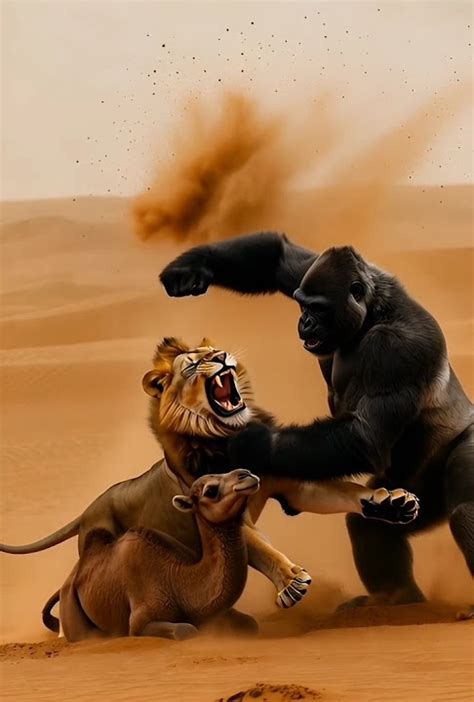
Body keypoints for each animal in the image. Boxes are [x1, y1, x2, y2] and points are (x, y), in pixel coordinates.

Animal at [160, 233, 474, 615]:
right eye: (303, 305)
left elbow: (364, 436)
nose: (304, 324)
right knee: (369, 527)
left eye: (319, 310)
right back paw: (397, 601)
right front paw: (192, 267)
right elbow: (280, 256)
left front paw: (253, 444)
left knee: (463, 513)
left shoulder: (397, 350)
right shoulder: (311, 276)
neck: (374, 311)